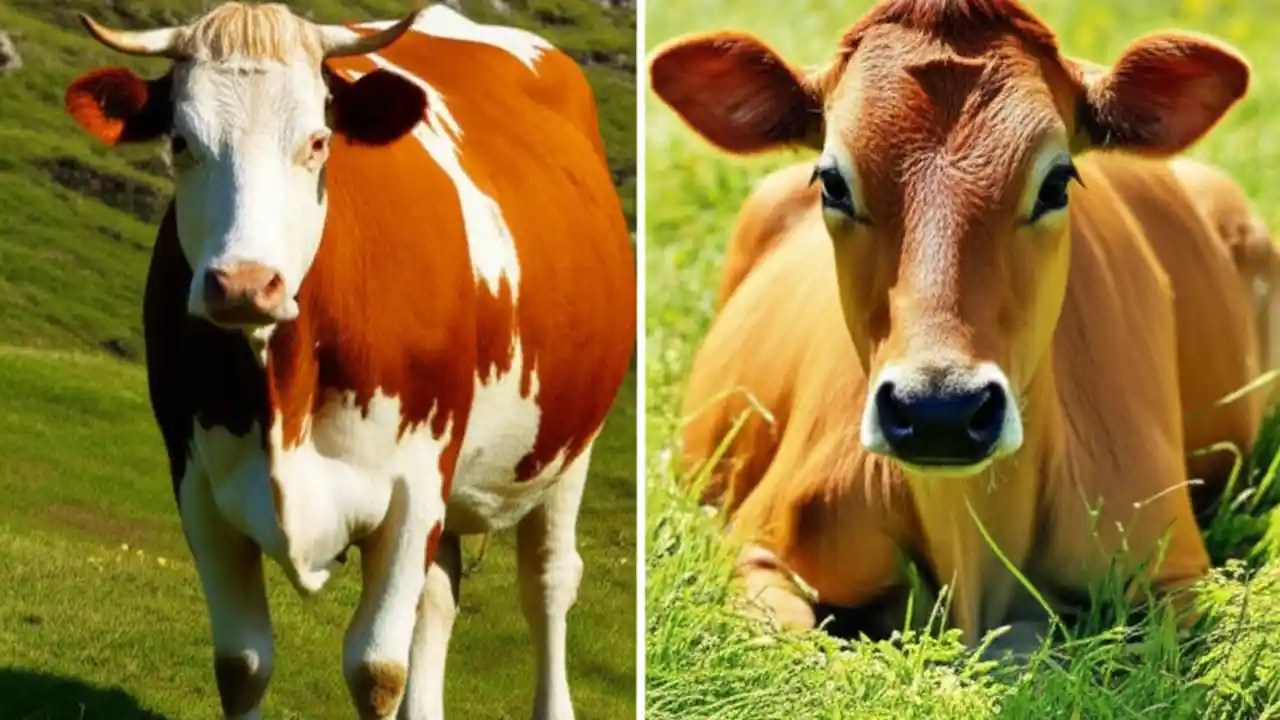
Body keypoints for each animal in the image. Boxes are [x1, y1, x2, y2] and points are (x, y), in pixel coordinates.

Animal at [63, 3, 634, 718]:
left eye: (316, 142)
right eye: (183, 143)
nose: (244, 284)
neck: (283, 392)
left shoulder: (414, 484)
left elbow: (376, 670)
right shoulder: (197, 486)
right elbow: (241, 663)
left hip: (569, 445)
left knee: (549, 584)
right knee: (439, 596)